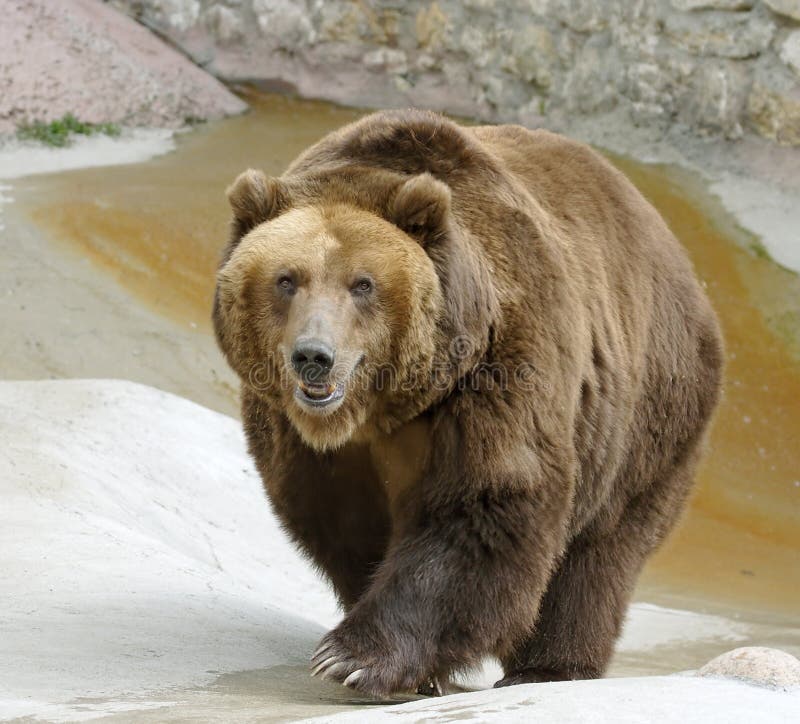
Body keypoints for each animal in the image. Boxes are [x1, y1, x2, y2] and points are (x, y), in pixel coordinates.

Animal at [212, 109, 723, 697]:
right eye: (286, 279)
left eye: (362, 284)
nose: (314, 357)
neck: (383, 411)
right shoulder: (302, 442)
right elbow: (341, 524)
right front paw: (410, 668)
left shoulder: (496, 369)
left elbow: (485, 503)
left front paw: (353, 658)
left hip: (648, 415)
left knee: (599, 552)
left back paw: (549, 667)